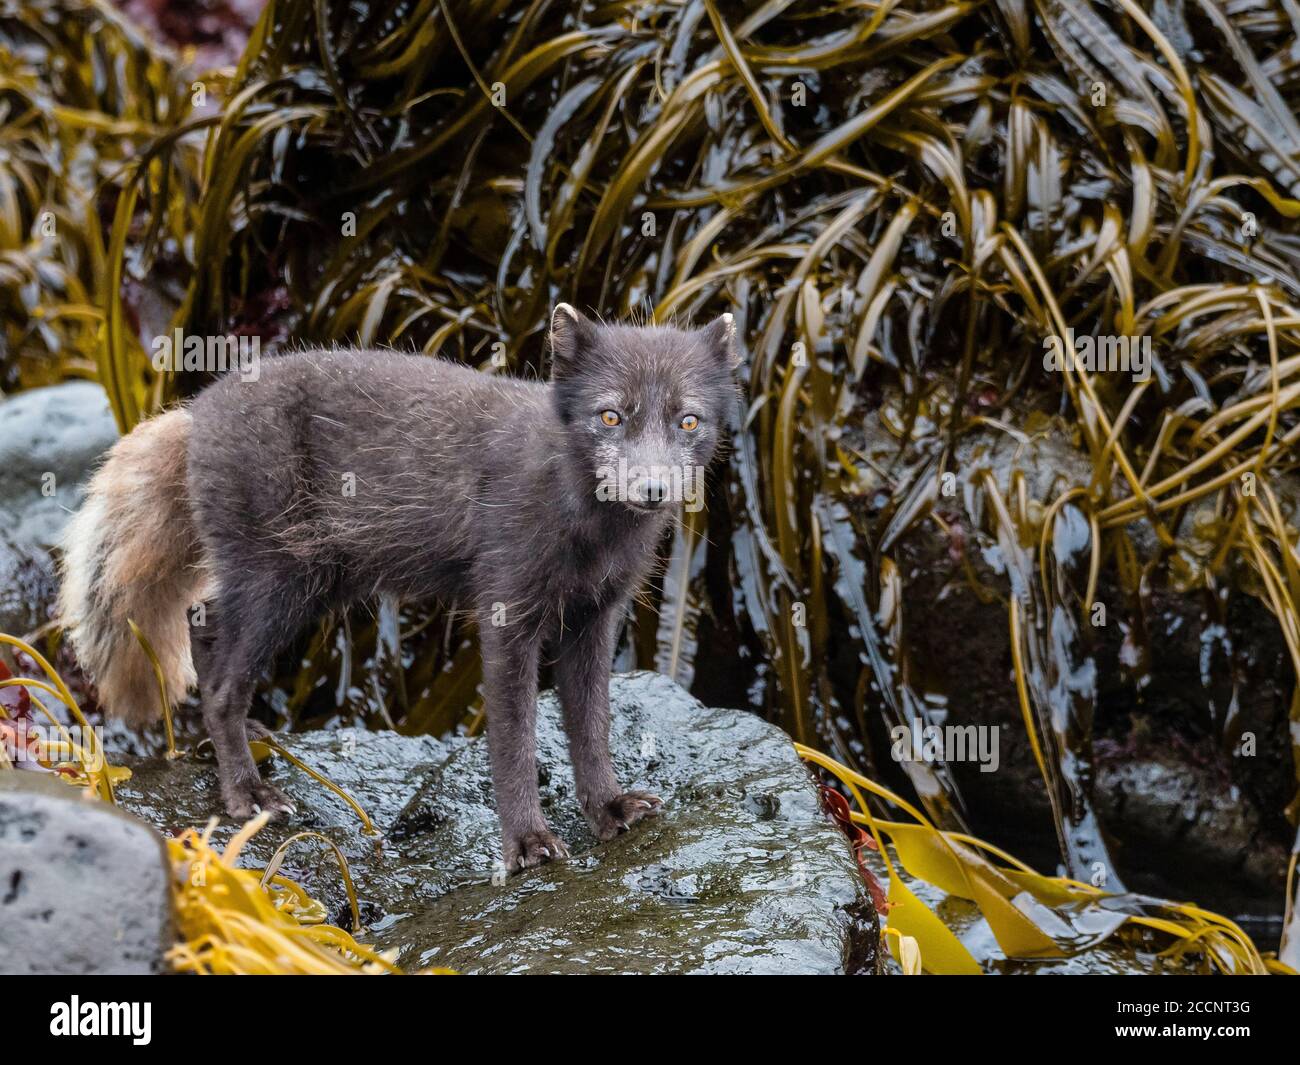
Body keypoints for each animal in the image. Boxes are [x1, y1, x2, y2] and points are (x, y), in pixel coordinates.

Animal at [58, 305, 738, 871]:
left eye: (687, 420)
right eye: (610, 415)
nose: (651, 488)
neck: (591, 533)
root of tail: (194, 413)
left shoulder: (597, 614)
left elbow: (592, 723)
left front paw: (610, 809)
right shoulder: (505, 605)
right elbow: (513, 736)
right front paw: (527, 843)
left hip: (307, 581)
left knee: (202, 620)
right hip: (280, 579)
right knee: (223, 676)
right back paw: (248, 793)